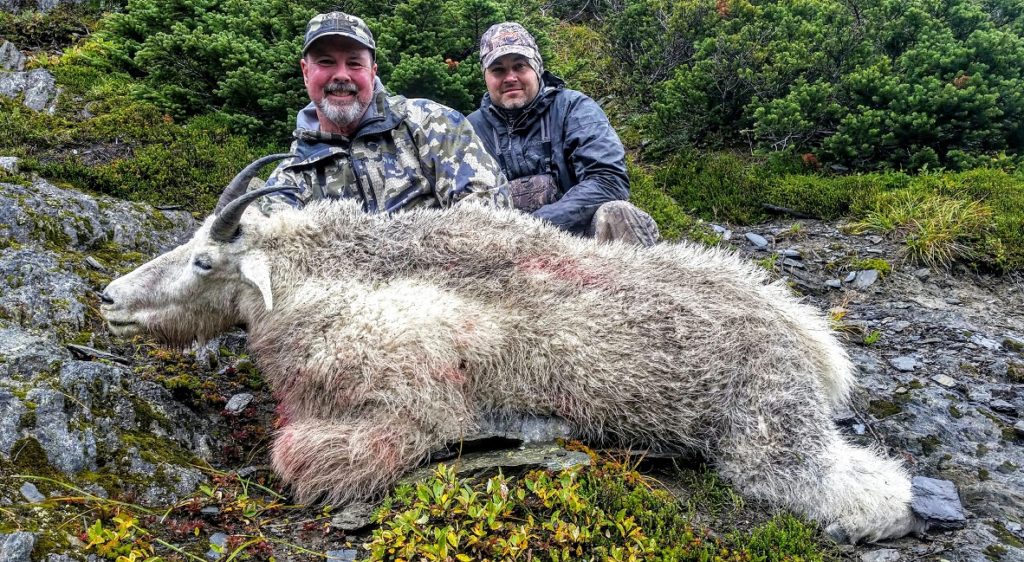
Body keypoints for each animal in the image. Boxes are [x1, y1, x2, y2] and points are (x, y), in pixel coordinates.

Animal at [101, 155, 924, 543]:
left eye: (205, 261)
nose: (110, 299)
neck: (329, 276)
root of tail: (810, 345)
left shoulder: (408, 391)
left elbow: (312, 452)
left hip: (765, 425)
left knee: (864, 487)